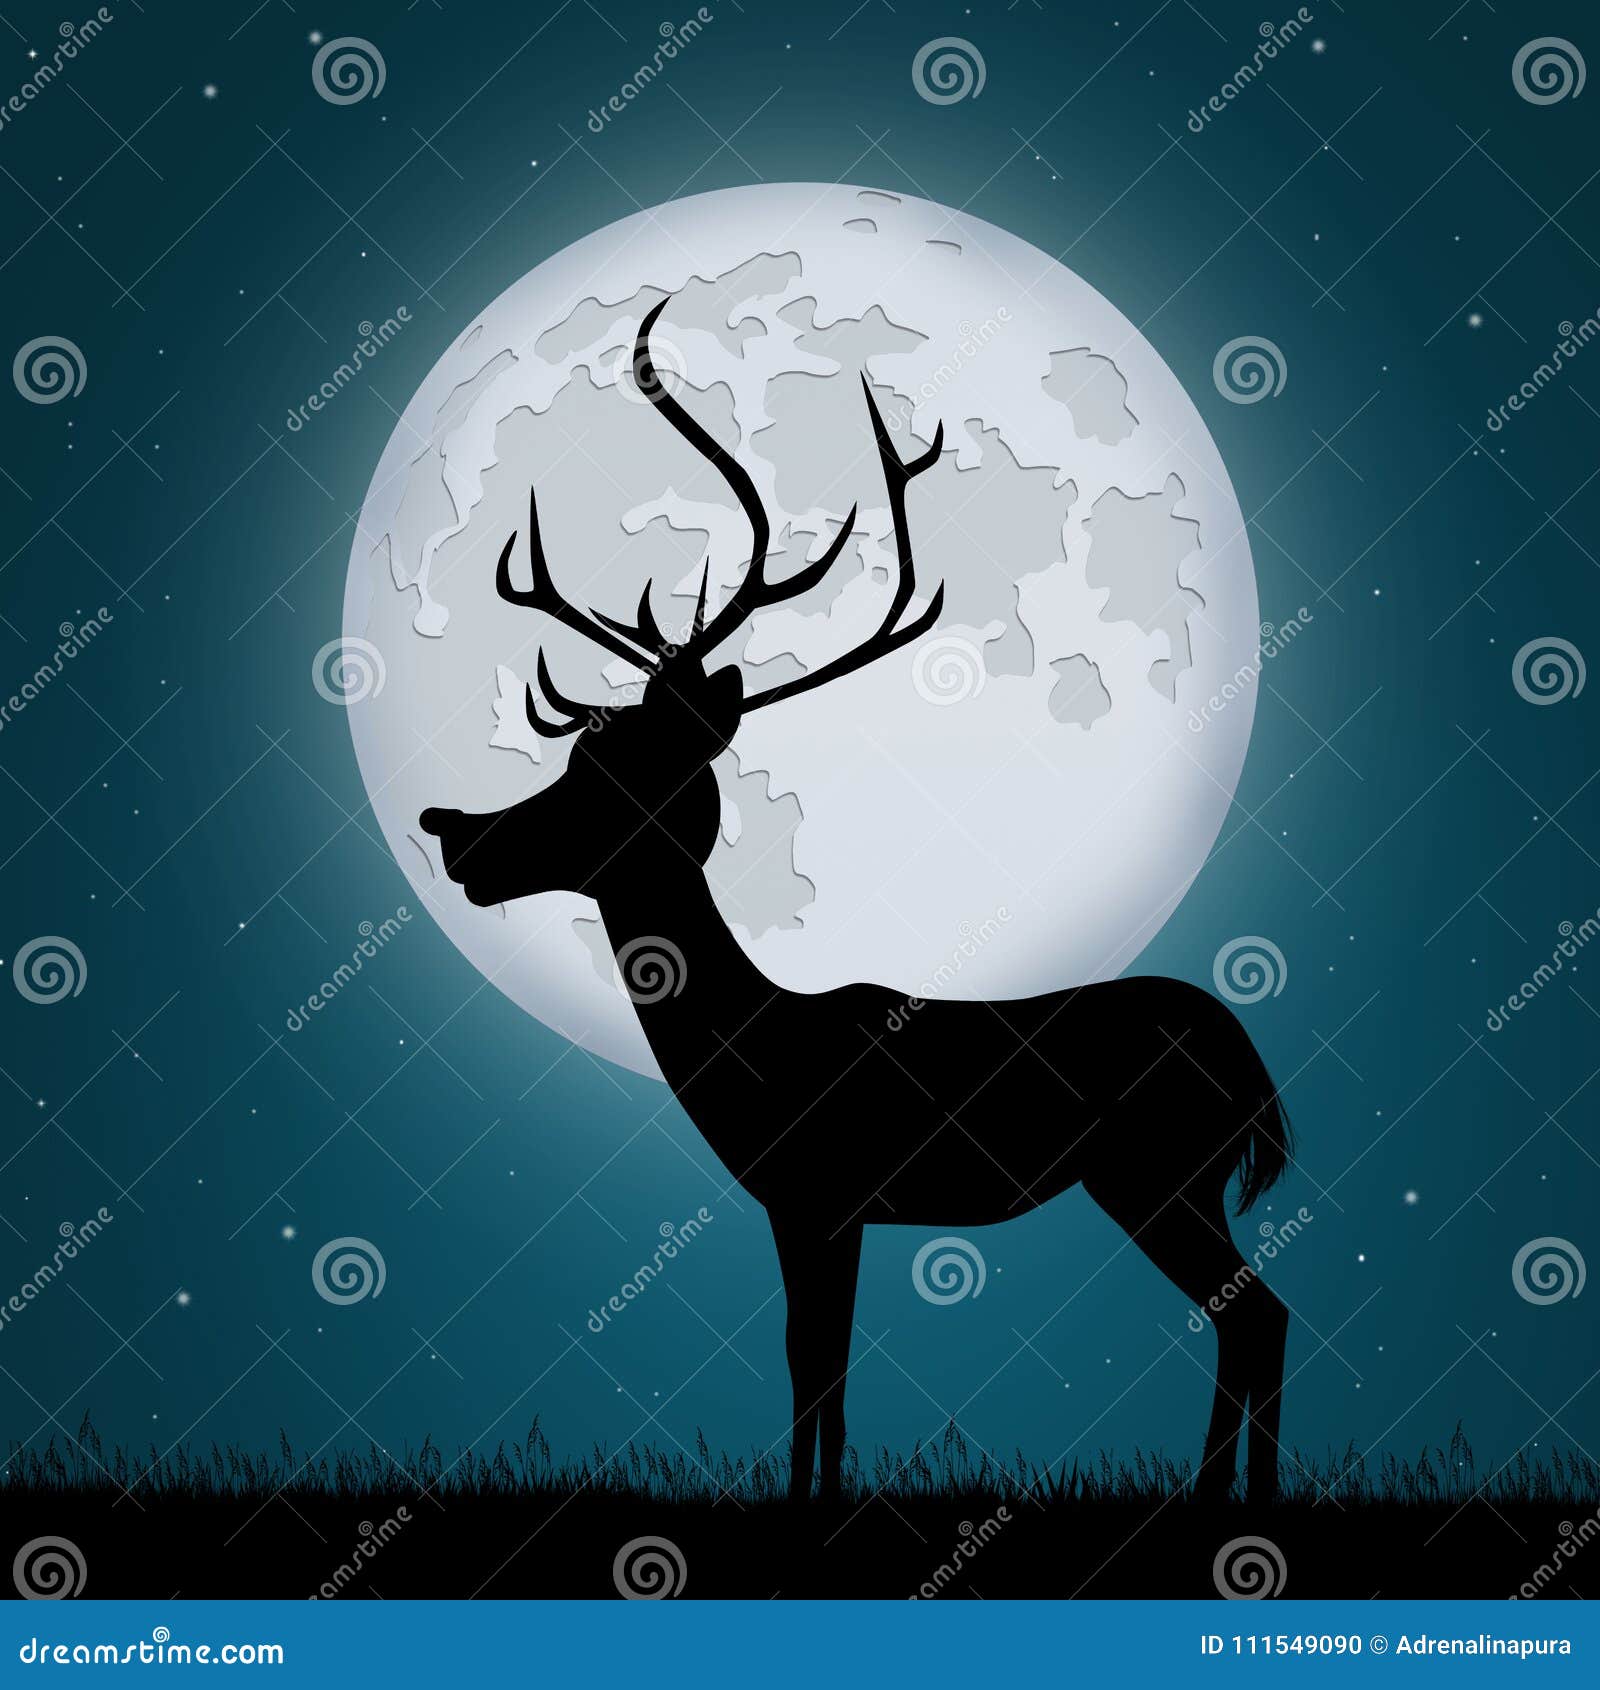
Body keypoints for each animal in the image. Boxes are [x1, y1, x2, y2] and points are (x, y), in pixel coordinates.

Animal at [421, 297, 1293, 1506]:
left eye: (598, 775)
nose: (448, 828)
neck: (752, 1054)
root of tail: (1253, 1070)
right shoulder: (837, 1210)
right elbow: (829, 1359)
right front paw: (826, 1496)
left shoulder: (813, 1190)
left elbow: (810, 1357)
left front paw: (806, 1508)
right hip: (1173, 1181)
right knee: (1254, 1315)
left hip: (1157, 1171)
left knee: (1256, 1315)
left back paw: (1226, 1505)